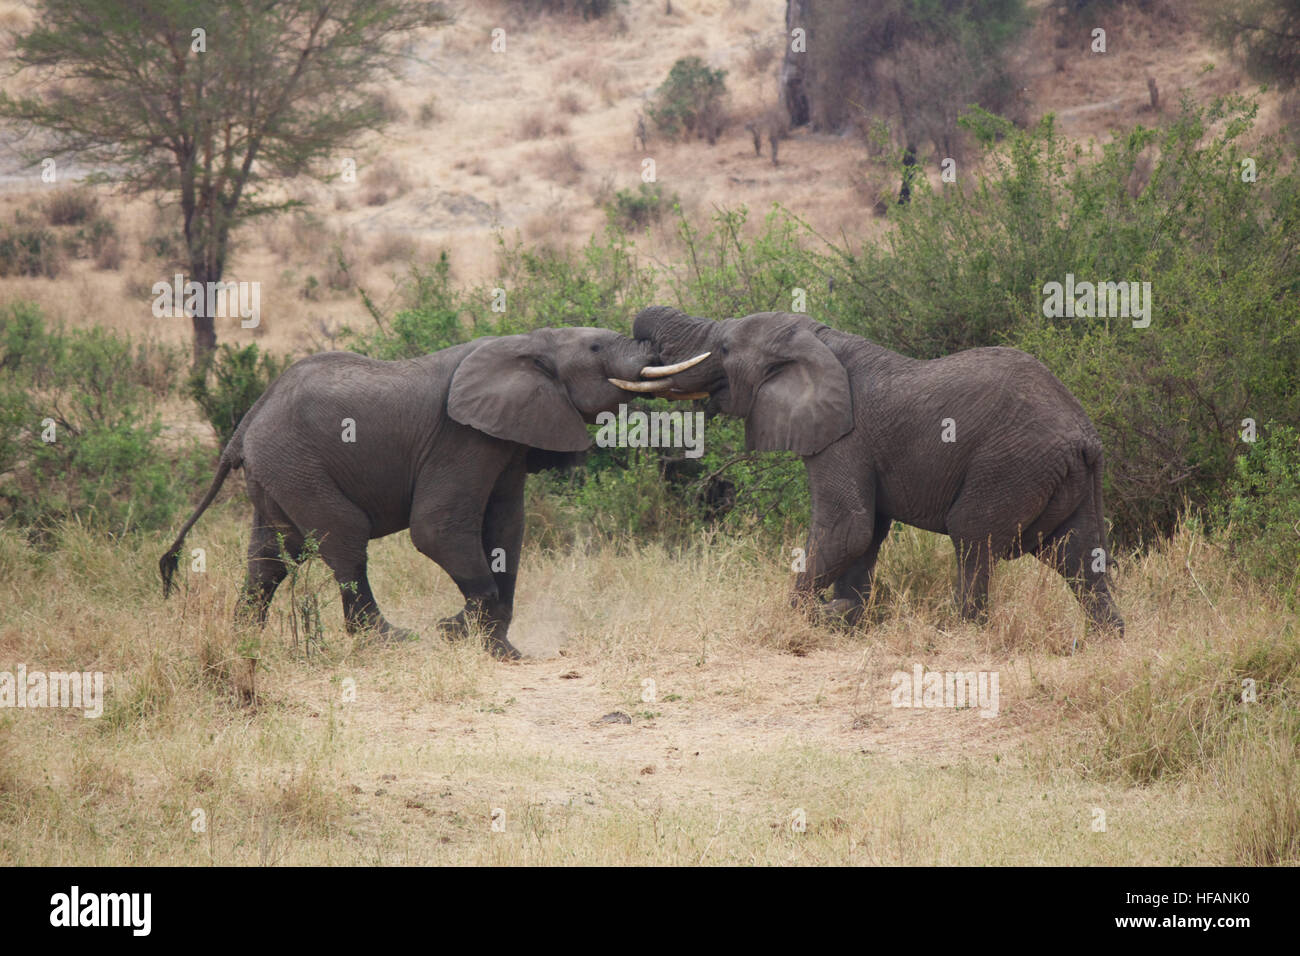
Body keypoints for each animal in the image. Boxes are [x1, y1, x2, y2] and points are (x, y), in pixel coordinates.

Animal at [159, 327, 710, 659]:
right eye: (596, 348)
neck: (531, 340)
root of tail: (245, 423)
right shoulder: (462, 437)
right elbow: (438, 529)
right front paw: (453, 631)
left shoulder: (507, 440)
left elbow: (506, 530)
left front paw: (501, 650)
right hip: (295, 463)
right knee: (344, 538)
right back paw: (389, 640)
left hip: (276, 472)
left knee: (270, 556)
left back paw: (242, 639)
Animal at [625, 307, 1124, 635]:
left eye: (725, 348)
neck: (821, 336)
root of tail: (1087, 436)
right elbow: (866, 536)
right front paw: (846, 614)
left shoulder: (844, 439)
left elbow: (848, 528)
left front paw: (806, 616)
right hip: (1061, 478)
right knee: (1079, 555)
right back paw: (1107, 640)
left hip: (1011, 465)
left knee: (972, 537)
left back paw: (964, 633)